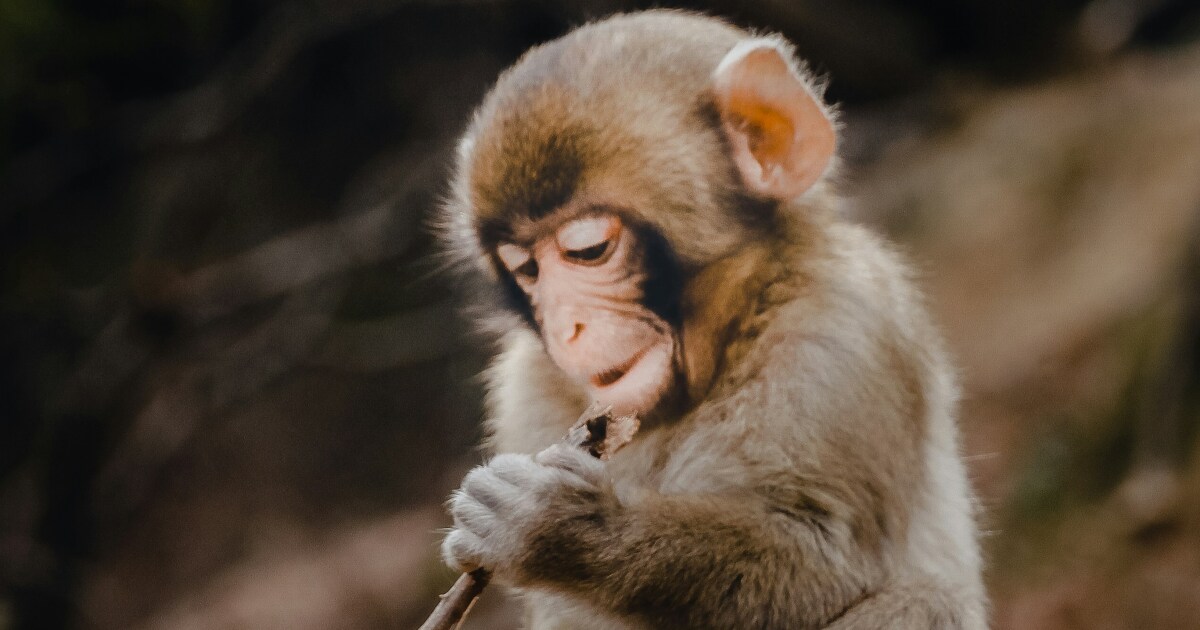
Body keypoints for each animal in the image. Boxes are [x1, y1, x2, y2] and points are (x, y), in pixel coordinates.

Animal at [437, 10, 987, 630]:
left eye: (589, 250)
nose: (565, 328)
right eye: (527, 270)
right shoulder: (523, 387)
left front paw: (560, 528)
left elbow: (827, 559)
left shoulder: (845, 331)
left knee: (925, 602)